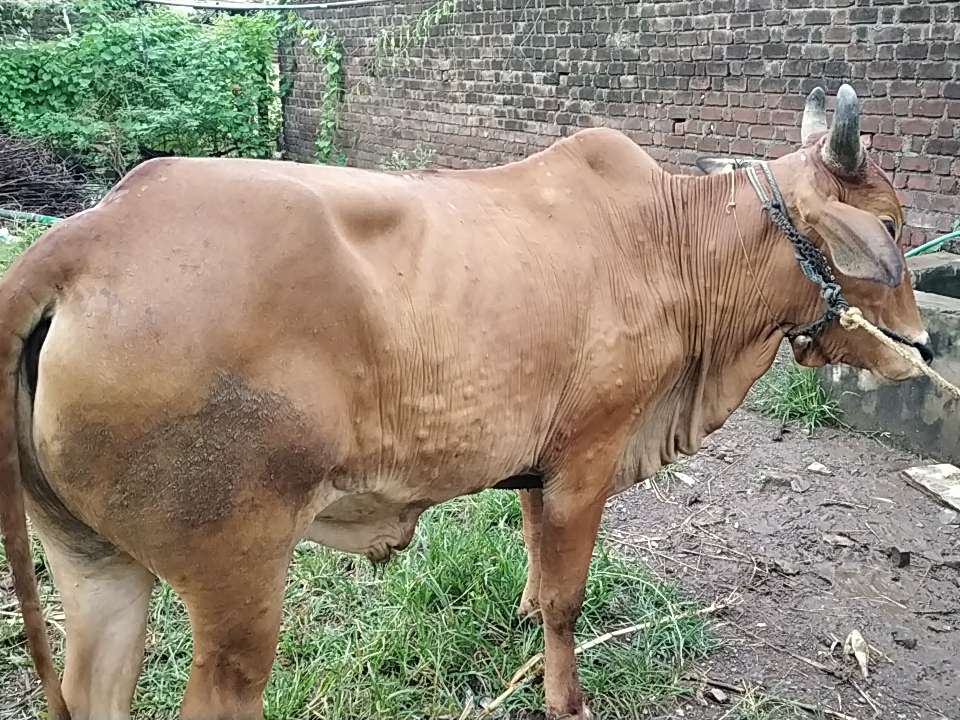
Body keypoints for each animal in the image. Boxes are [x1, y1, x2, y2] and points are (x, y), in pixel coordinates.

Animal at [0, 83, 932, 720]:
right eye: (888, 225)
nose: (925, 344)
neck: (674, 244)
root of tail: (80, 240)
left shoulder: (536, 465)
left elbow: (534, 563)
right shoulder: (588, 457)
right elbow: (567, 597)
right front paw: (565, 698)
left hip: (95, 565)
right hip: (237, 585)